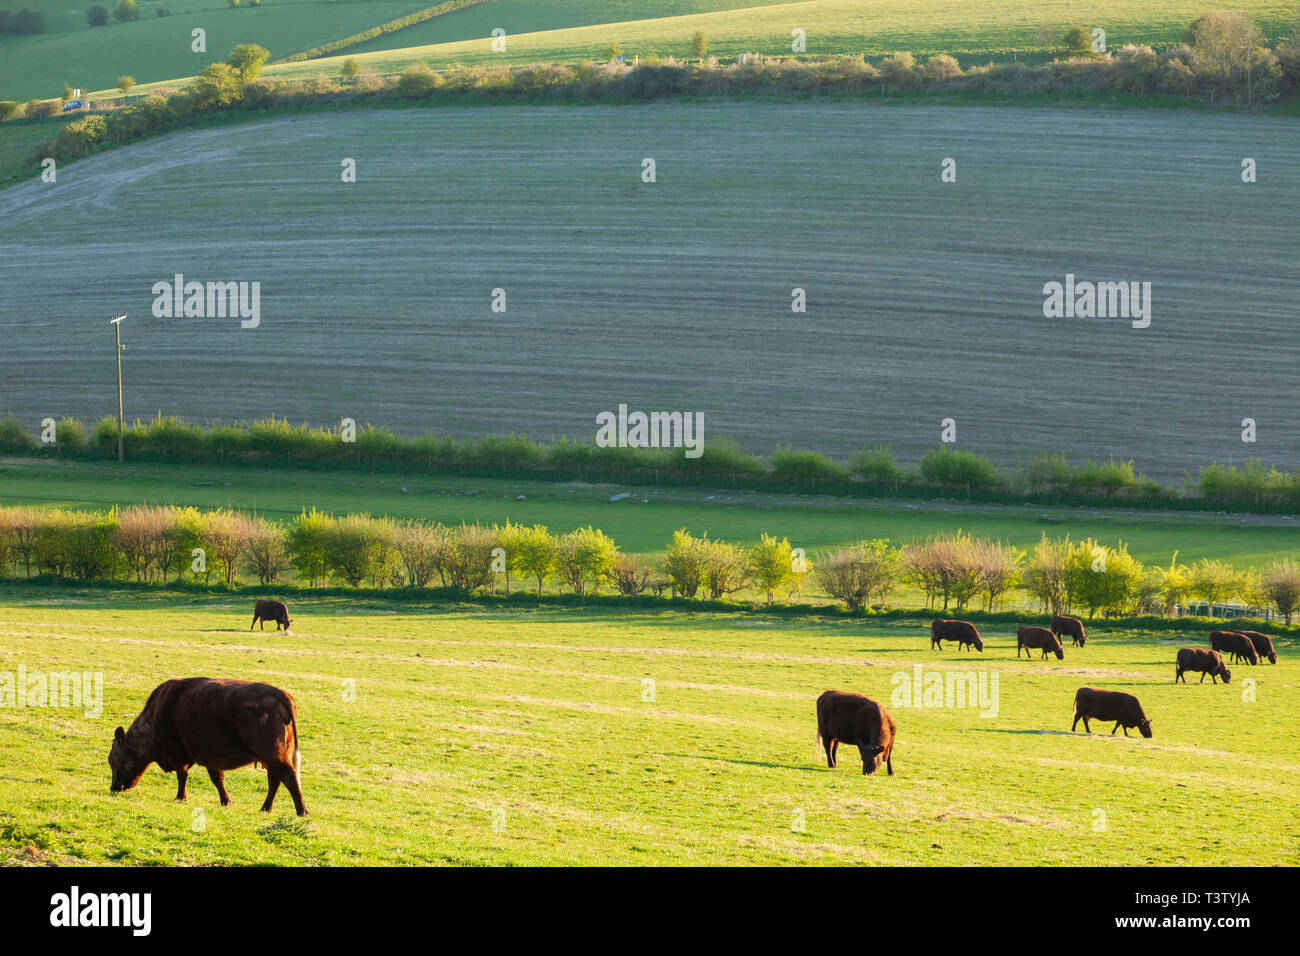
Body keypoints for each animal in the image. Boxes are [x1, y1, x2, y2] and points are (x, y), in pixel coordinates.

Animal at [109, 677, 306, 816]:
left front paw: (180, 797)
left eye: (114, 760)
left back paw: (301, 810)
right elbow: (217, 779)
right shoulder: (211, 758)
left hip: (274, 755)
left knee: (288, 777)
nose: (114, 787)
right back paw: (266, 808)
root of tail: (280, 694)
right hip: (273, 758)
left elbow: (182, 775)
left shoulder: (178, 754)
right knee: (275, 781)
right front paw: (226, 801)